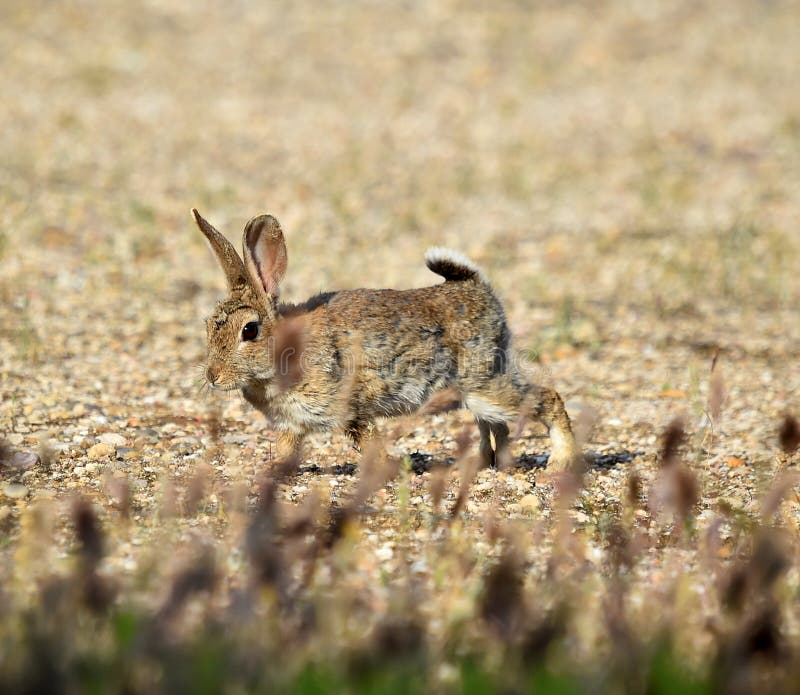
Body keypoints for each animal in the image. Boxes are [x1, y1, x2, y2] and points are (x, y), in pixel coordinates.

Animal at [192, 208, 580, 471]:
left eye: (249, 331)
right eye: (209, 325)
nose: (213, 377)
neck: (285, 349)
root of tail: (478, 288)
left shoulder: (350, 411)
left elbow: (370, 446)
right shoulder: (293, 424)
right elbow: (287, 451)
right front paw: (271, 474)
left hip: (483, 385)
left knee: (546, 399)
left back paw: (559, 464)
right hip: (475, 393)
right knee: (494, 424)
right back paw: (485, 465)